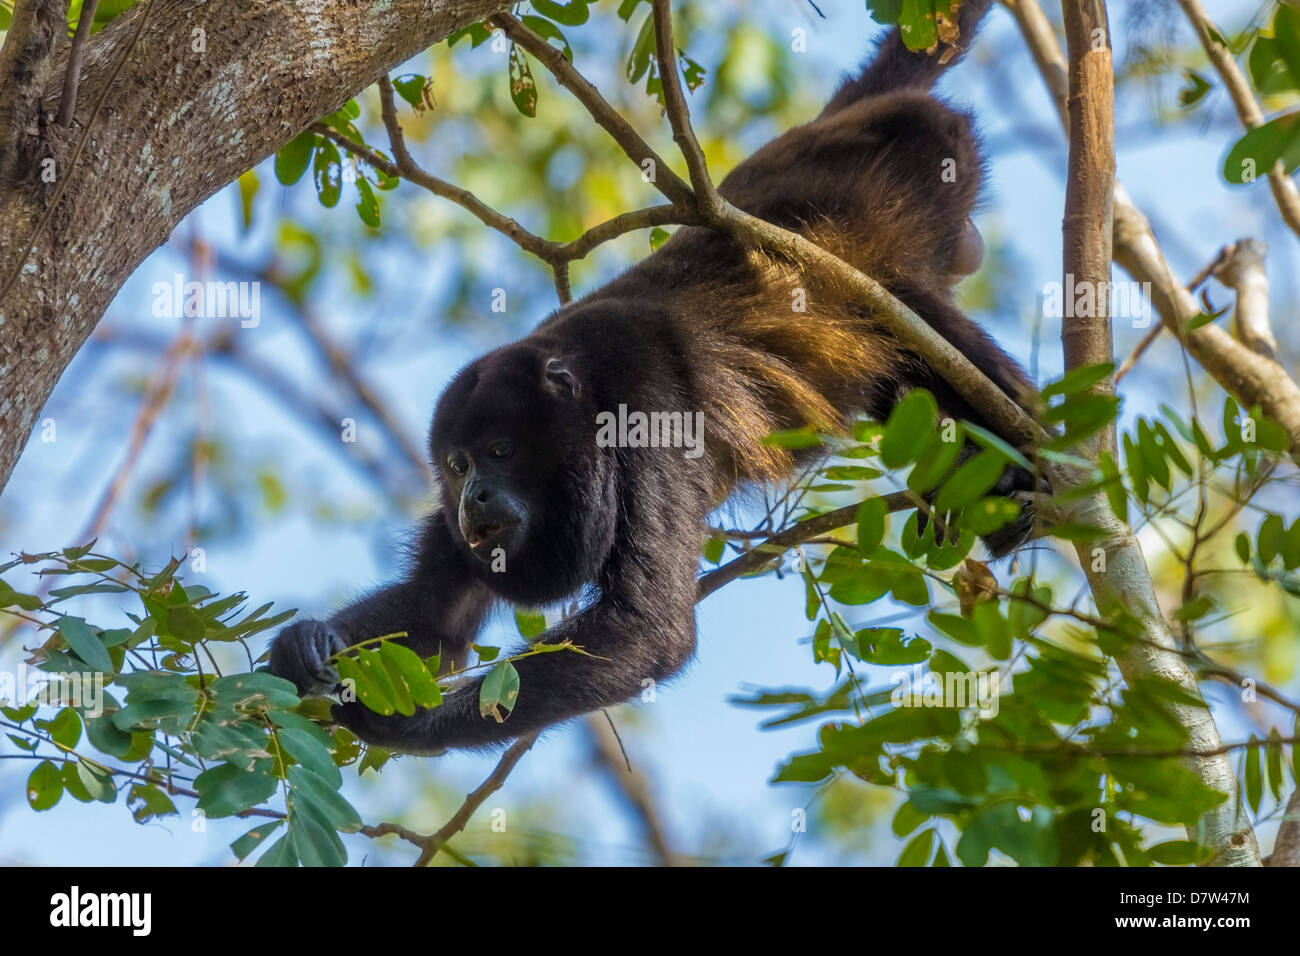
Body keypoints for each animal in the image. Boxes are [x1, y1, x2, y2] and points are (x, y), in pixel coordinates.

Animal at [268, 0, 1042, 753]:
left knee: (919, 317)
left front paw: (396, 724)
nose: (473, 497)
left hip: (922, 165)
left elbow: (646, 631)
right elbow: (436, 616)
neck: (582, 386)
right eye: (456, 465)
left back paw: (1025, 462)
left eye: (500, 451)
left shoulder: (646, 403)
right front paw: (304, 647)